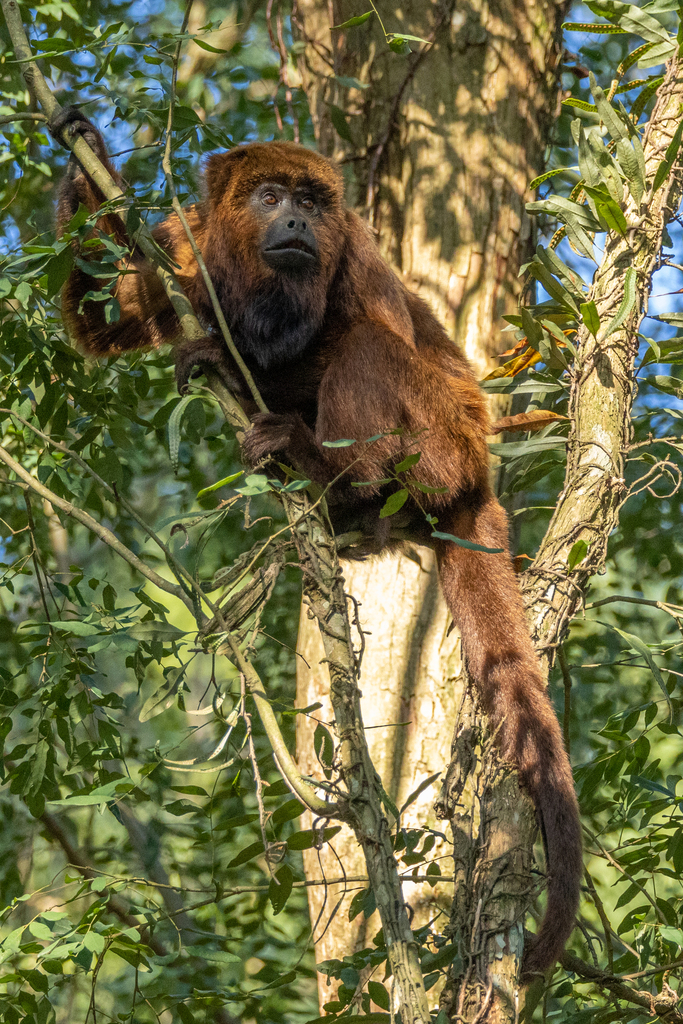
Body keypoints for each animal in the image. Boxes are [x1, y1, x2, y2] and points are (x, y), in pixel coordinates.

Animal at [53, 107, 582, 976]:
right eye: (268, 197)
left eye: (309, 200)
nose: (297, 222)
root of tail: (478, 475)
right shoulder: (181, 240)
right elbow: (107, 321)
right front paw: (82, 162)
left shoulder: (356, 252)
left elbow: (364, 329)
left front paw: (227, 350)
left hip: (438, 446)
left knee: (369, 345)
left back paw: (329, 477)